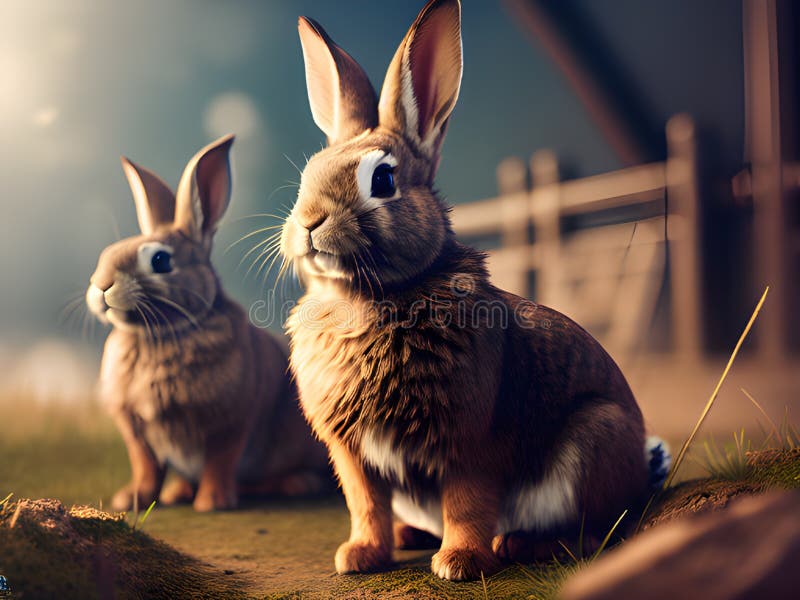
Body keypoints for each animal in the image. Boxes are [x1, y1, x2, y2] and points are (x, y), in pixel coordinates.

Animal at [86, 135, 330, 513]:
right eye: (110, 250)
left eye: (160, 260)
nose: (101, 285)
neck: (159, 335)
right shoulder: (137, 431)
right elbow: (146, 467)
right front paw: (131, 499)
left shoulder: (229, 424)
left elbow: (219, 463)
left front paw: (212, 503)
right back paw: (178, 492)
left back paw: (295, 484)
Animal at [281, 0, 671, 581]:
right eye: (310, 171)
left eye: (383, 181)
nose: (309, 222)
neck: (365, 299)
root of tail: (639, 479)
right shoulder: (351, 452)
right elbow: (365, 504)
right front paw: (358, 557)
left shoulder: (470, 441)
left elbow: (466, 503)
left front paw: (458, 564)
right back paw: (412, 535)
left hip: (591, 445)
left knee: (595, 534)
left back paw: (520, 545)